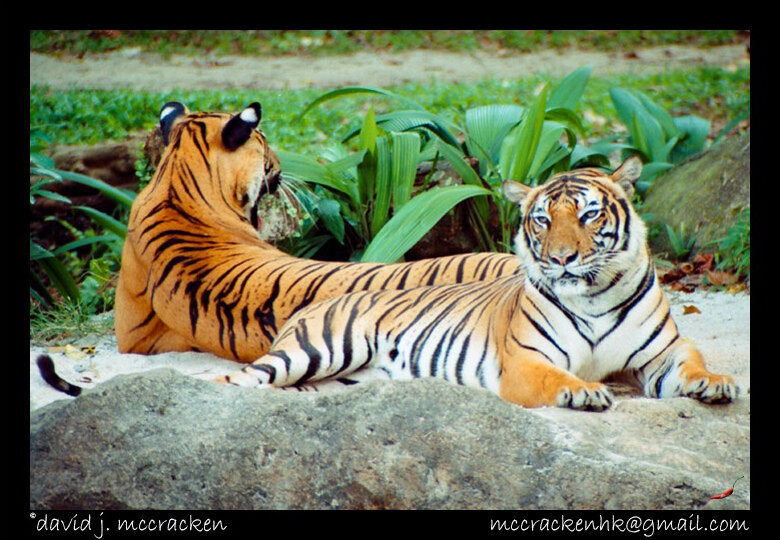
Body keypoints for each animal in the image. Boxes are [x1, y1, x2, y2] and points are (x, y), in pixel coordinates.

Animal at [220, 157, 737, 411]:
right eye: (543, 220)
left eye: (589, 215)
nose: (561, 259)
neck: (593, 297)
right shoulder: (527, 361)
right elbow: (558, 377)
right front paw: (585, 391)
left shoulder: (663, 351)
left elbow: (693, 363)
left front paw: (716, 384)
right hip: (314, 350)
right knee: (238, 378)